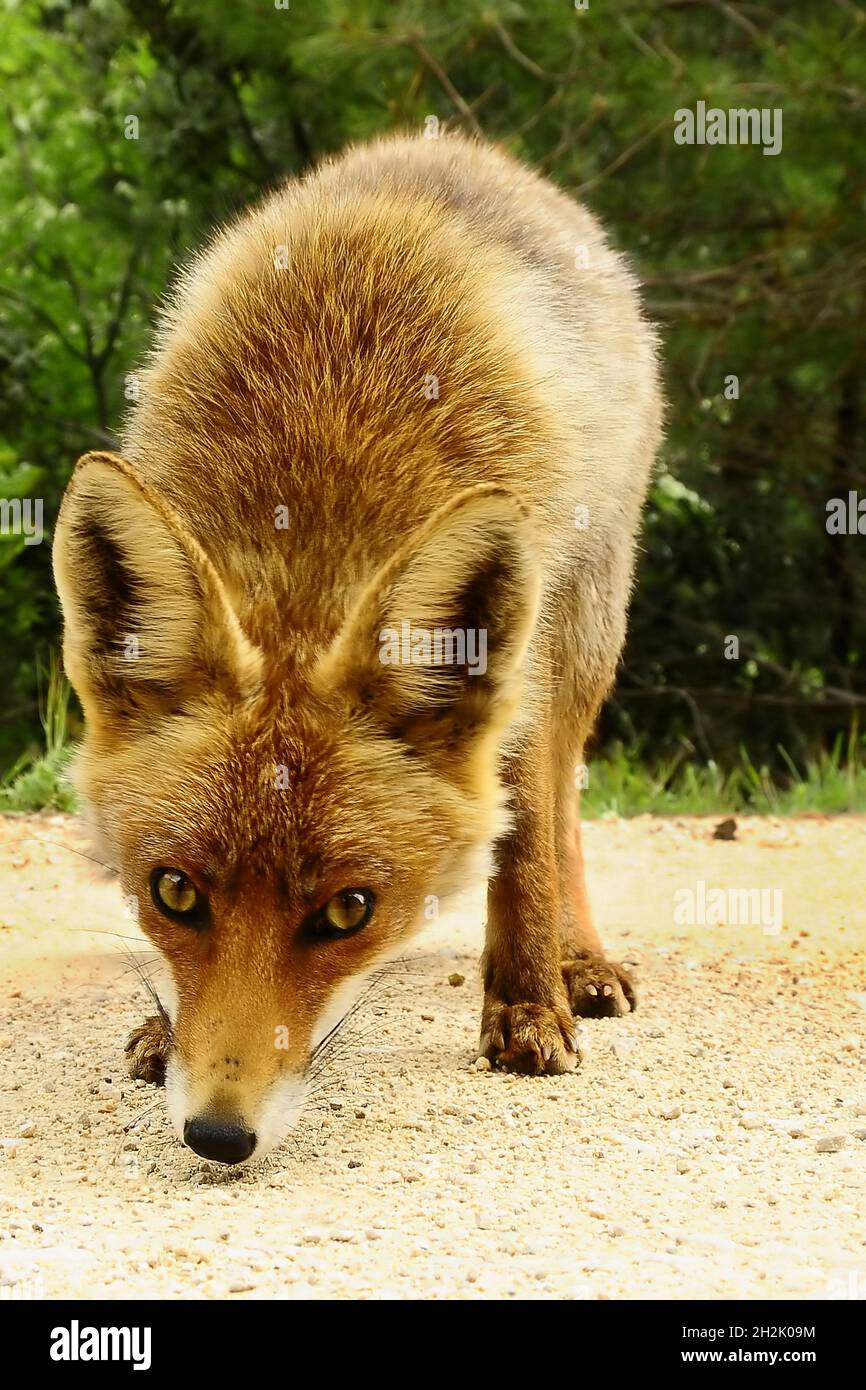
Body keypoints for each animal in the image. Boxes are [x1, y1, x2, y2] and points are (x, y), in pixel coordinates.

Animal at [53, 133, 662, 1166]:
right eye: (173, 892)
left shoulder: (524, 671)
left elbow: (526, 848)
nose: (219, 1134)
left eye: (349, 911)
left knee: (564, 810)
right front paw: (160, 1030)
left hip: (585, 627)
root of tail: (464, 147)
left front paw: (527, 1004)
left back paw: (578, 963)